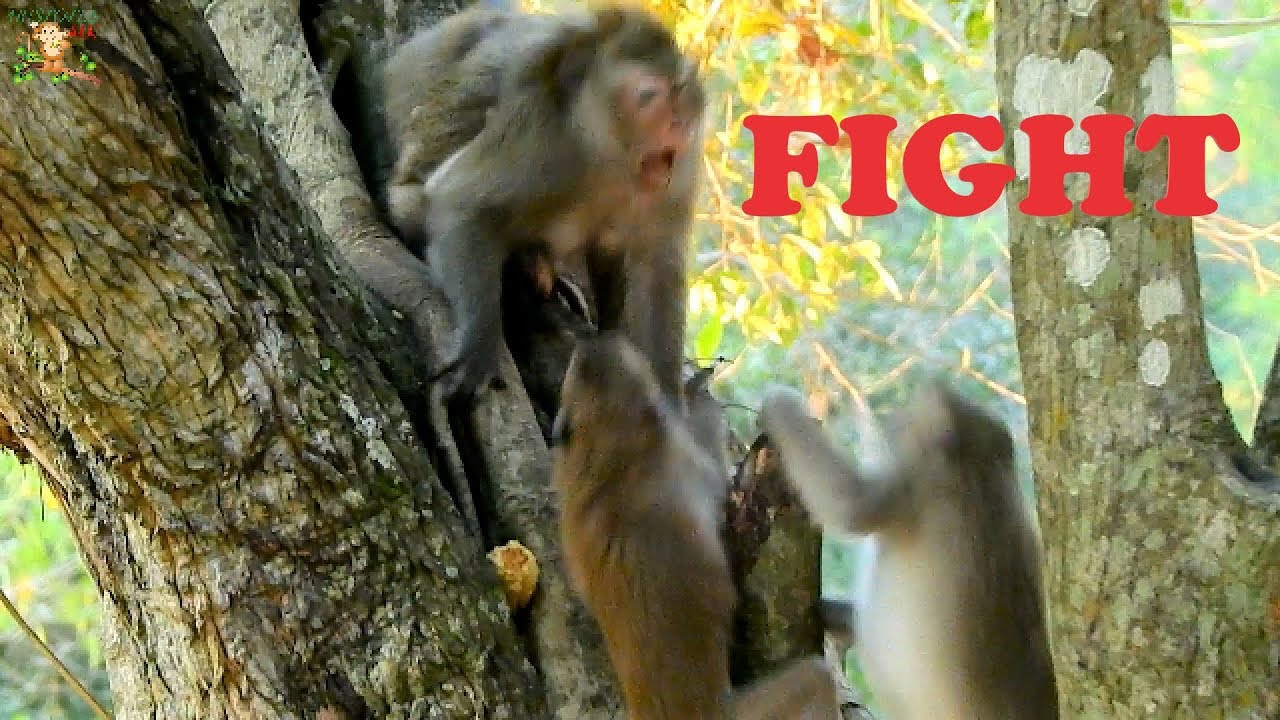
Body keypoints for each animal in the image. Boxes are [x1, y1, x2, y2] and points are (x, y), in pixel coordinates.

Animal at [382, 5, 705, 402]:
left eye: (684, 93)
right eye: (649, 95)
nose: (680, 120)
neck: (608, 159)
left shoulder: (681, 172)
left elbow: (653, 269)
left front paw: (670, 405)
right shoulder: (543, 133)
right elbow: (461, 200)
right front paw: (477, 345)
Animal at [758, 381, 1060, 720]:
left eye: (905, 417)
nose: (891, 423)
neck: (979, 466)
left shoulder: (918, 475)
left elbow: (851, 507)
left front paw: (777, 403)